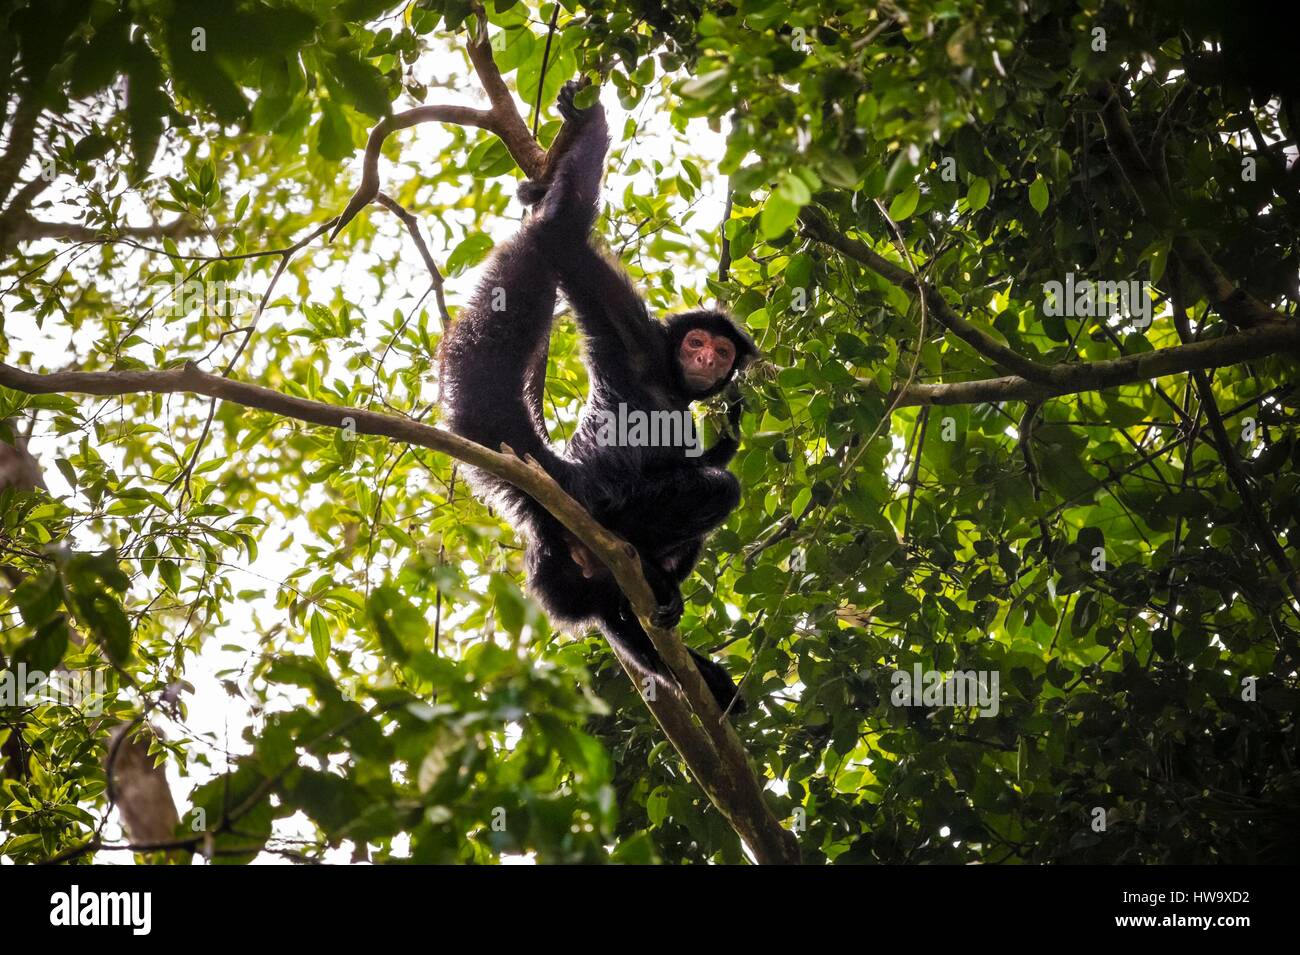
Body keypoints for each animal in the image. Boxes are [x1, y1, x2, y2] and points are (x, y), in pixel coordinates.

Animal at [439, 82, 756, 712]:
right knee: (716, 490)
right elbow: (562, 238)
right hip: (606, 506)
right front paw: (590, 116)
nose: (708, 360)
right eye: (698, 342)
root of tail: (562, 480)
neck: (667, 380)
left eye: (722, 351)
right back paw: (654, 578)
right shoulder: (630, 333)